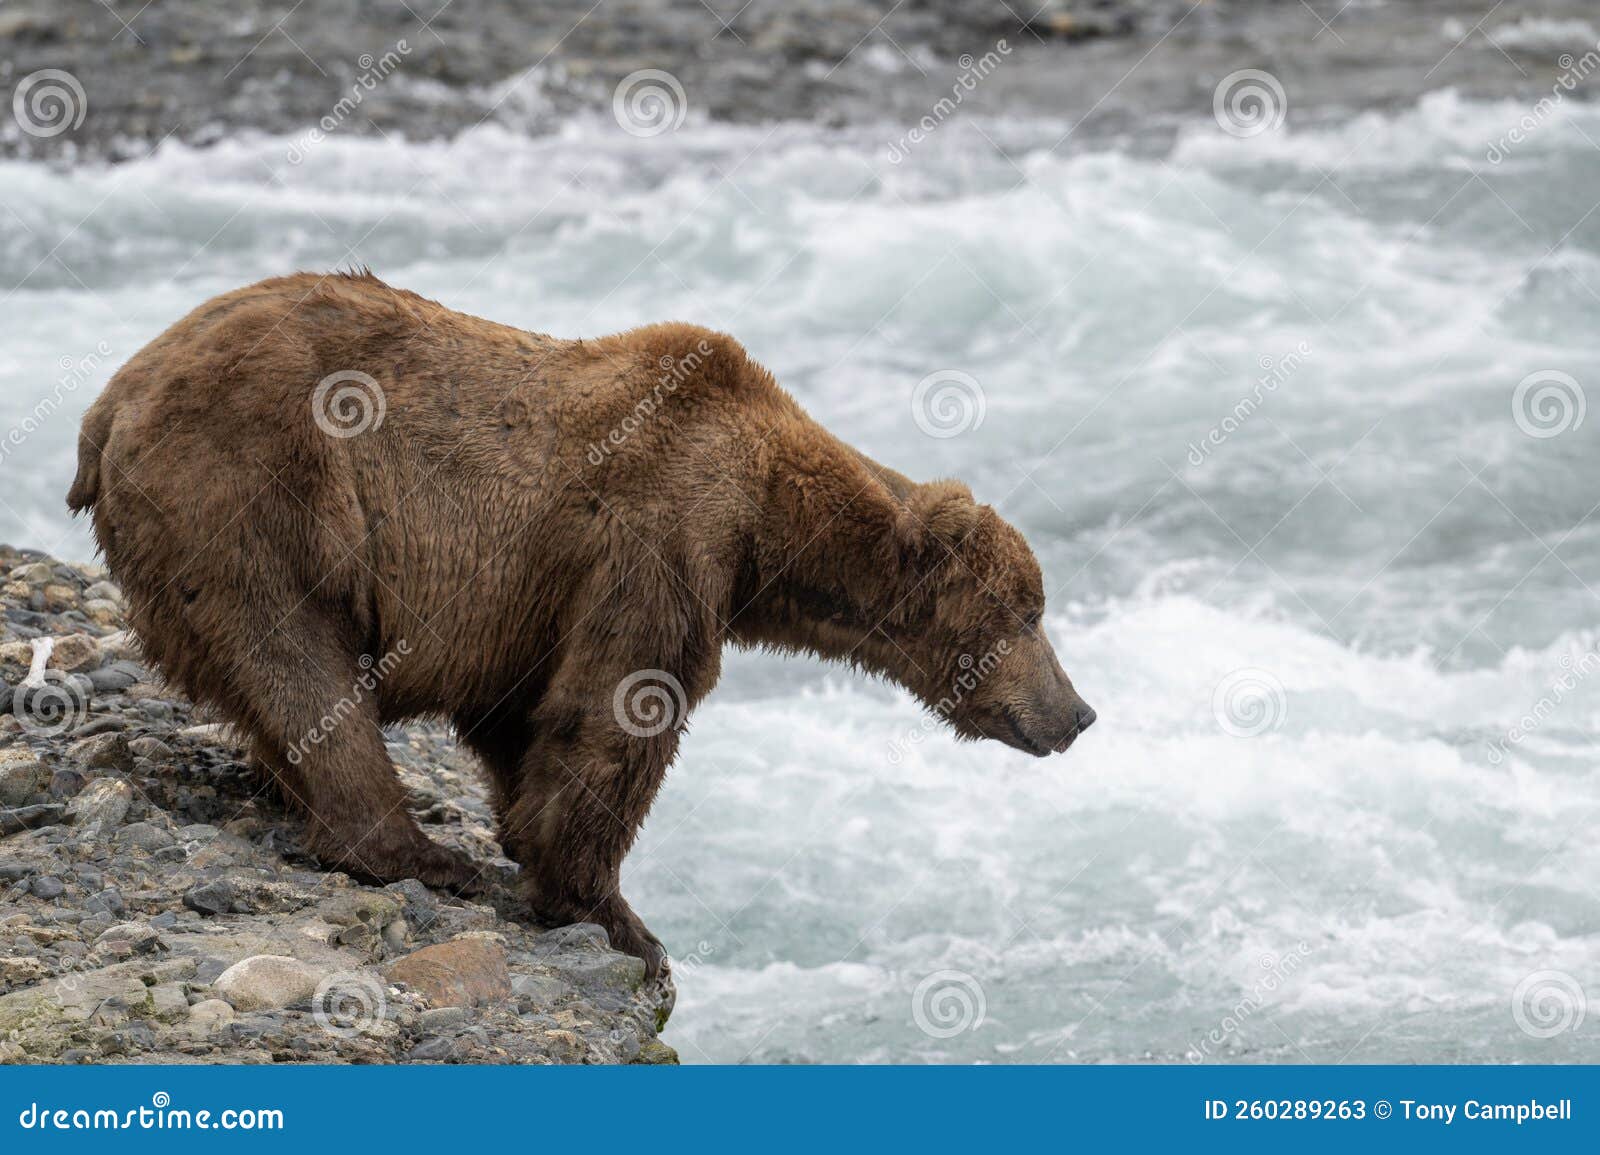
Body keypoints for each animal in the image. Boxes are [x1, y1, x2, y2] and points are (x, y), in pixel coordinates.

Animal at [66, 271, 1096, 978]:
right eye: (1029, 611)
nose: (1078, 712)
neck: (769, 524)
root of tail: (108, 402)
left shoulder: (534, 596)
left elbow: (520, 713)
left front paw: (549, 857)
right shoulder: (664, 530)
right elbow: (619, 704)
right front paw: (612, 913)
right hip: (257, 483)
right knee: (298, 658)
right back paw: (418, 852)